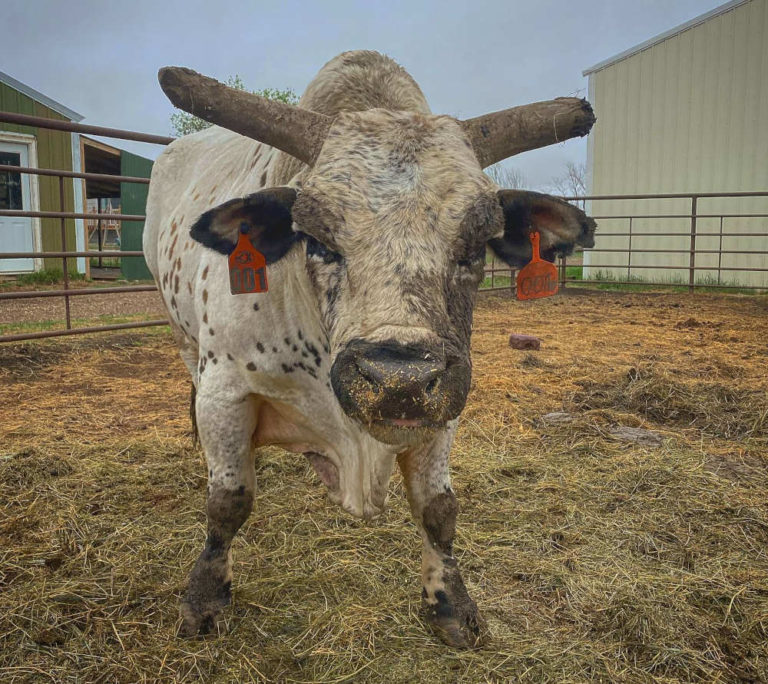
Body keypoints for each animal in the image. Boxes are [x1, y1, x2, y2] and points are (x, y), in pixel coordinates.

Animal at [144, 51, 596, 648]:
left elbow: (438, 508)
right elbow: (228, 503)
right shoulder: (225, 391)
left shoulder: (446, 402)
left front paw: (451, 604)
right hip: (183, 340)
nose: (399, 380)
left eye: (476, 247)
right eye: (315, 241)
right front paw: (204, 600)